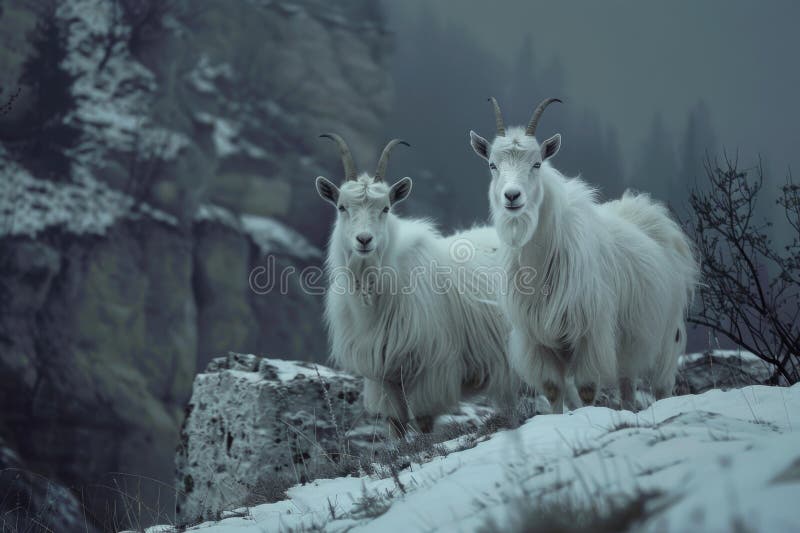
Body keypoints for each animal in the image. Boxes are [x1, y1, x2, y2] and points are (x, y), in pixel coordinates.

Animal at [316, 133, 519, 435]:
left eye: (385, 208)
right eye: (342, 207)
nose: (364, 240)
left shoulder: (431, 369)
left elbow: (424, 421)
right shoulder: (382, 377)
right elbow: (395, 425)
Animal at [469, 98, 698, 412]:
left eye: (537, 163)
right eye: (492, 165)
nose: (512, 196)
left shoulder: (590, 334)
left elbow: (587, 389)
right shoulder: (536, 339)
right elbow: (553, 389)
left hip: (667, 334)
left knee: (662, 385)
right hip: (627, 346)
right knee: (627, 385)